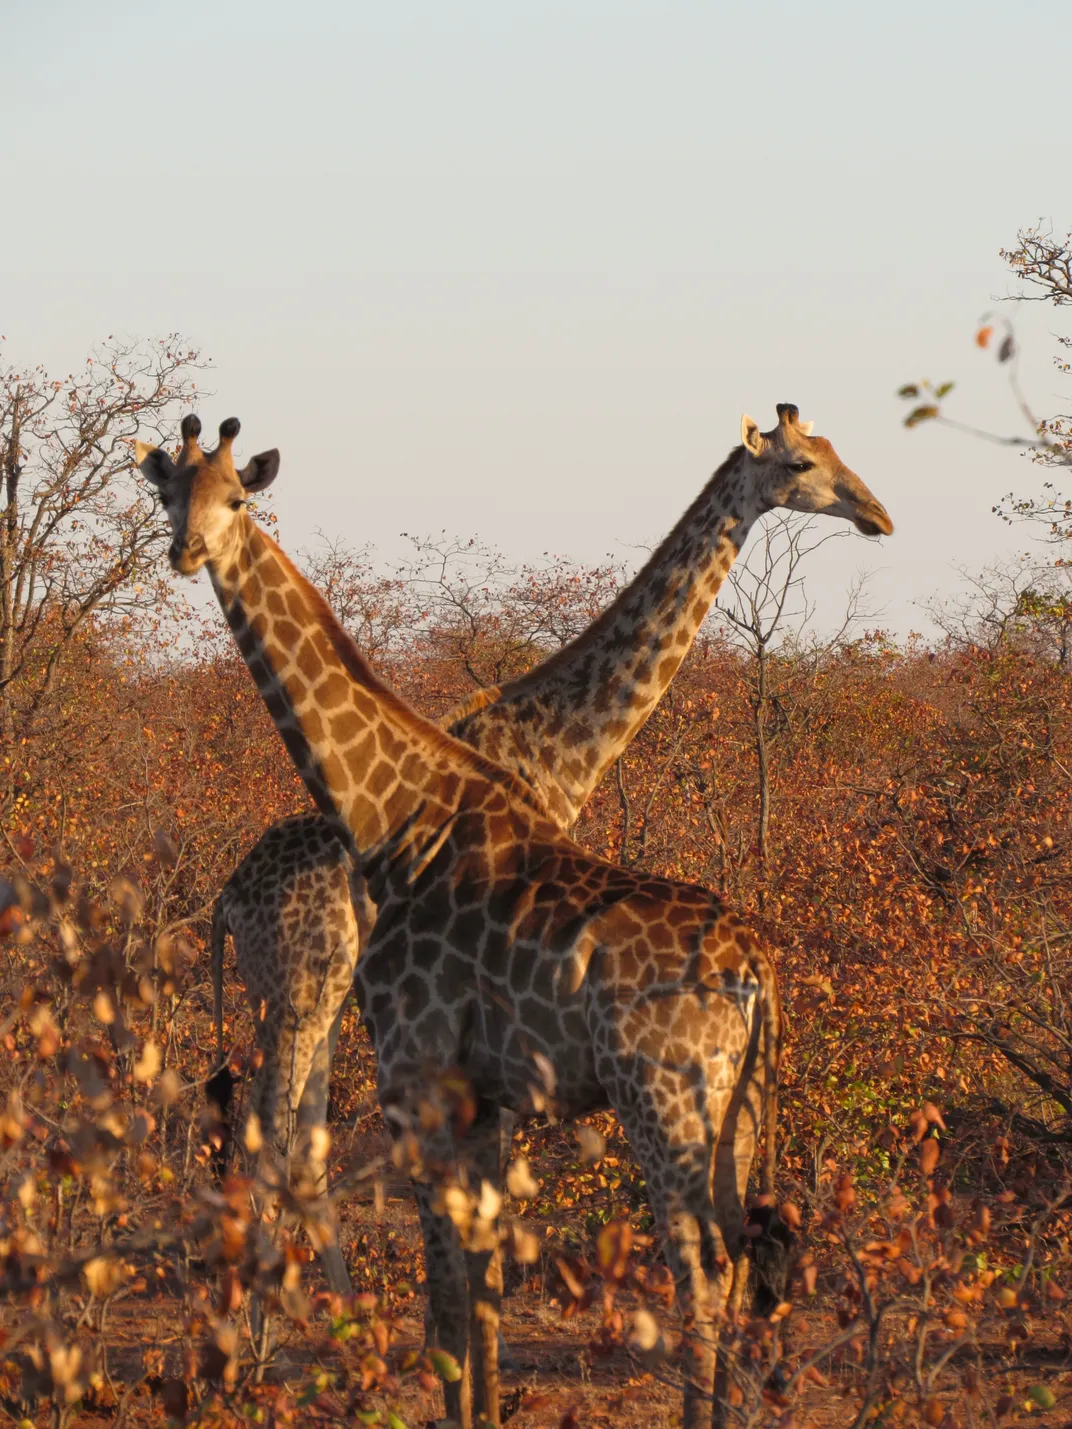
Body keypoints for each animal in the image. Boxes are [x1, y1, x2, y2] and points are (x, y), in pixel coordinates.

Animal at [138, 411, 892, 1429]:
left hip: (659, 1098)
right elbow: (471, 1279)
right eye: (168, 494)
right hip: (327, 1000)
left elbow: (461, 1281)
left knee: (705, 1263)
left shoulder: (437, 1077)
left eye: (237, 498)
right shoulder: (457, 1084)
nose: (876, 513)